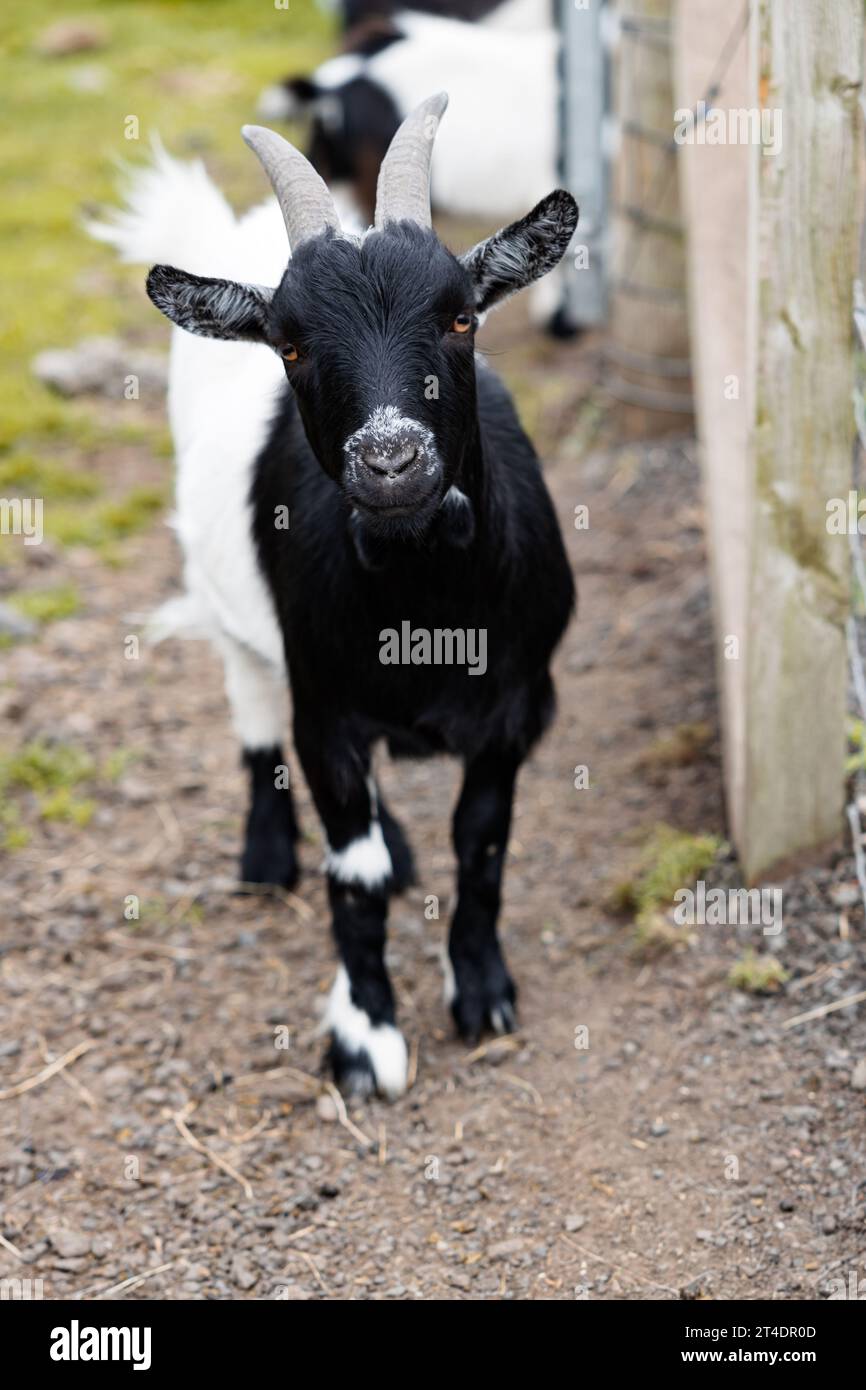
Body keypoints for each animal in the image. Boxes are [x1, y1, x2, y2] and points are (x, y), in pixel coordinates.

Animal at [94, 94, 577, 1099]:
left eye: (462, 317)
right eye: (290, 343)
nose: (391, 459)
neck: (425, 613)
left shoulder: (516, 708)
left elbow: (482, 845)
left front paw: (482, 994)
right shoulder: (326, 710)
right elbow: (351, 876)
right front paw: (365, 1039)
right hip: (228, 605)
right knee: (249, 705)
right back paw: (267, 851)